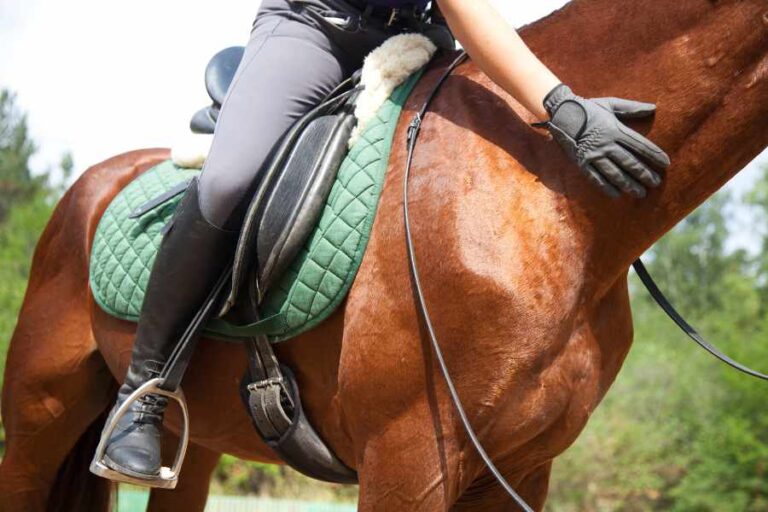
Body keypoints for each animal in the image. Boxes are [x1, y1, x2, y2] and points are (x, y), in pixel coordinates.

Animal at [1, 0, 766, 510]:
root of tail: (89, 186)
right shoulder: (408, 456)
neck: (551, 195)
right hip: (38, 423)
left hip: (195, 448)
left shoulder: (519, 469)